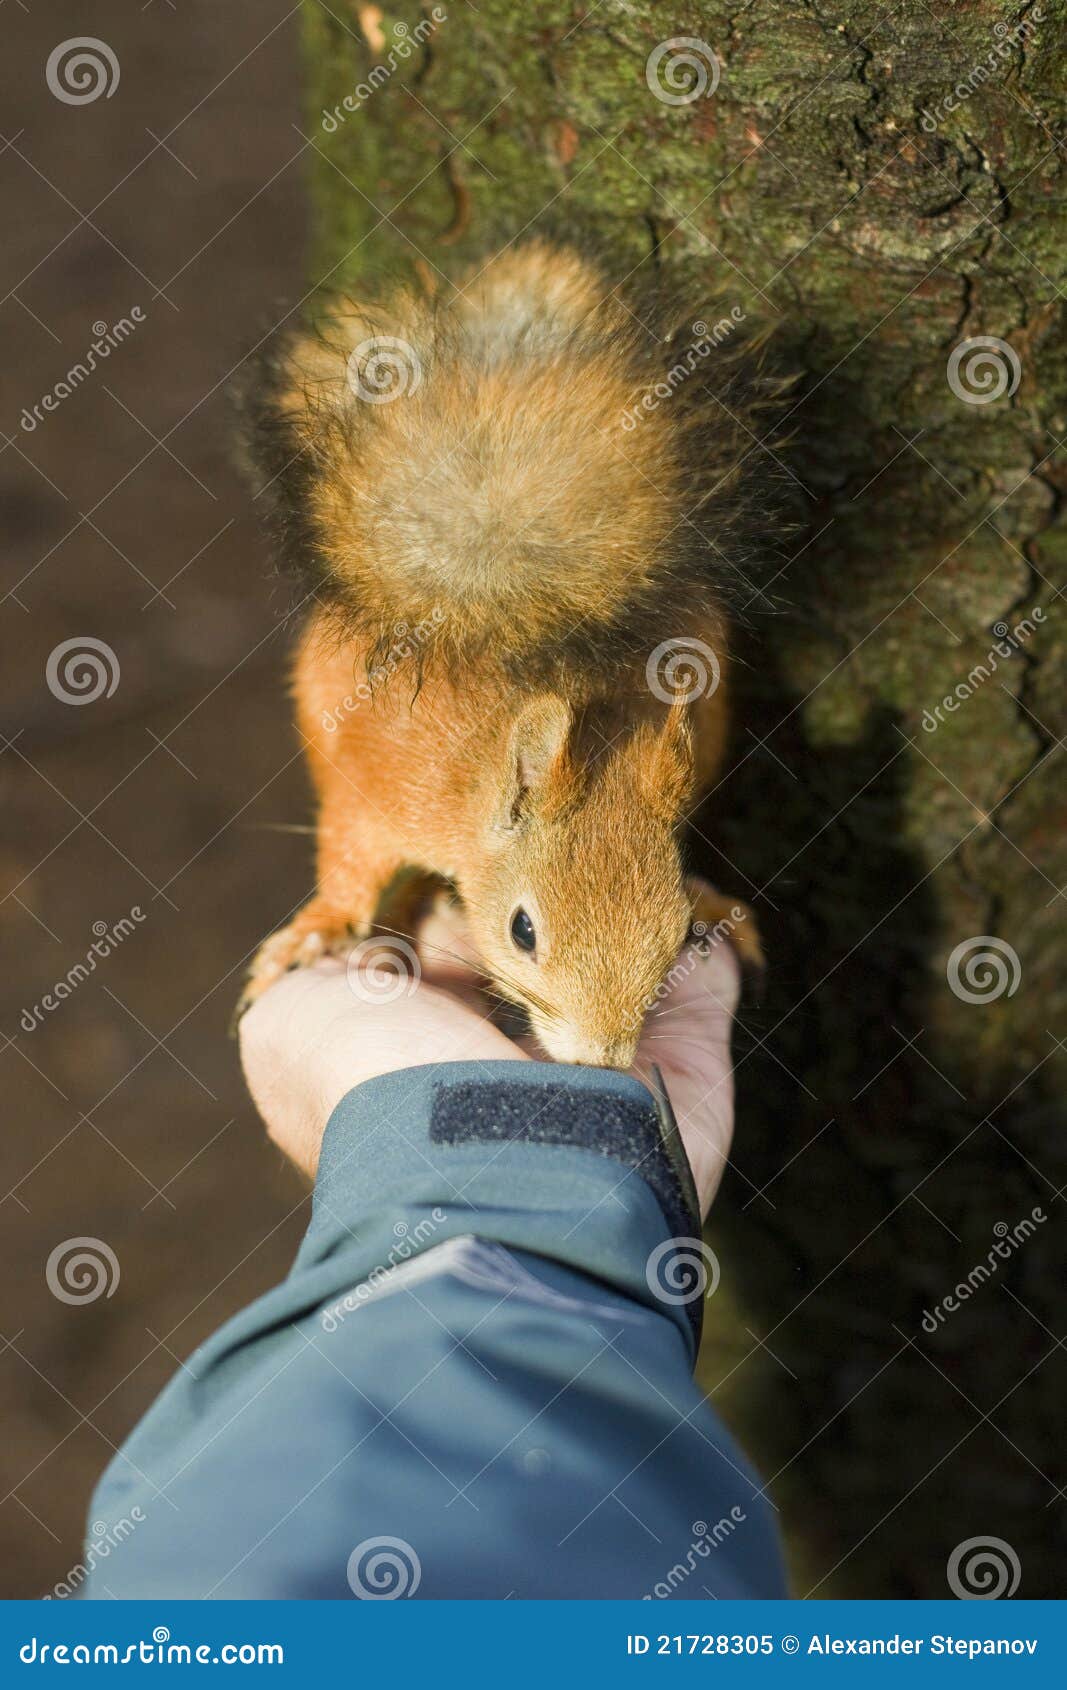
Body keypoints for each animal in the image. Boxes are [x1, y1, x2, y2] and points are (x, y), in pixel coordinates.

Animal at [239, 240, 769, 1068]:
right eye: (523, 931)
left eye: (675, 931)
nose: (598, 1062)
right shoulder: (380, 783)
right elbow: (349, 856)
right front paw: (319, 927)